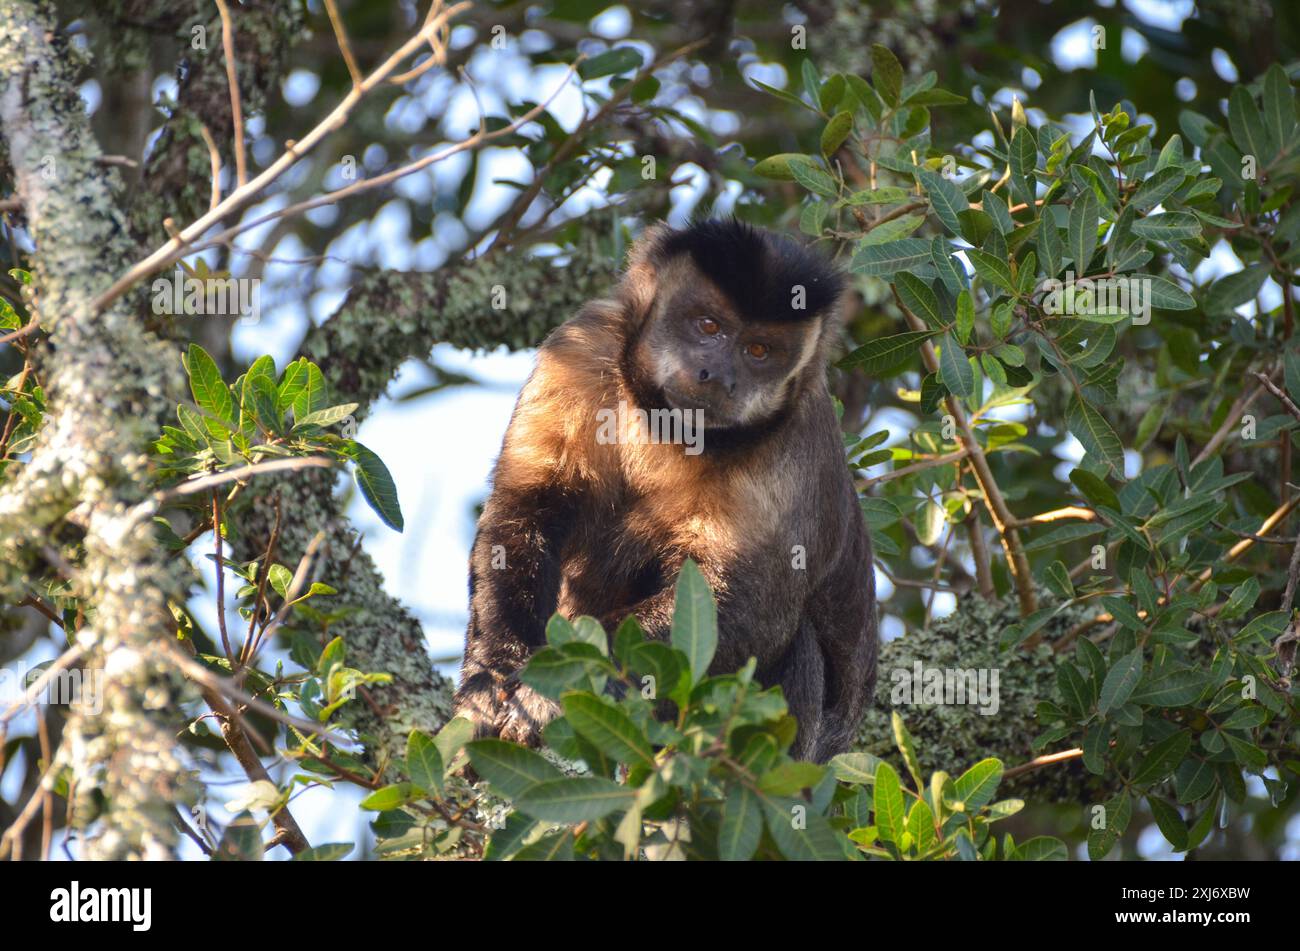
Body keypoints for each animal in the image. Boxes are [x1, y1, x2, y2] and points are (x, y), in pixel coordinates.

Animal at [454, 219, 877, 763]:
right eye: (708, 326)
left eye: (759, 351)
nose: (719, 376)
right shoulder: (580, 345)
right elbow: (523, 513)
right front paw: (490, 679)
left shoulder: (793, 446)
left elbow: (744, 610)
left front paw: (556, 693)